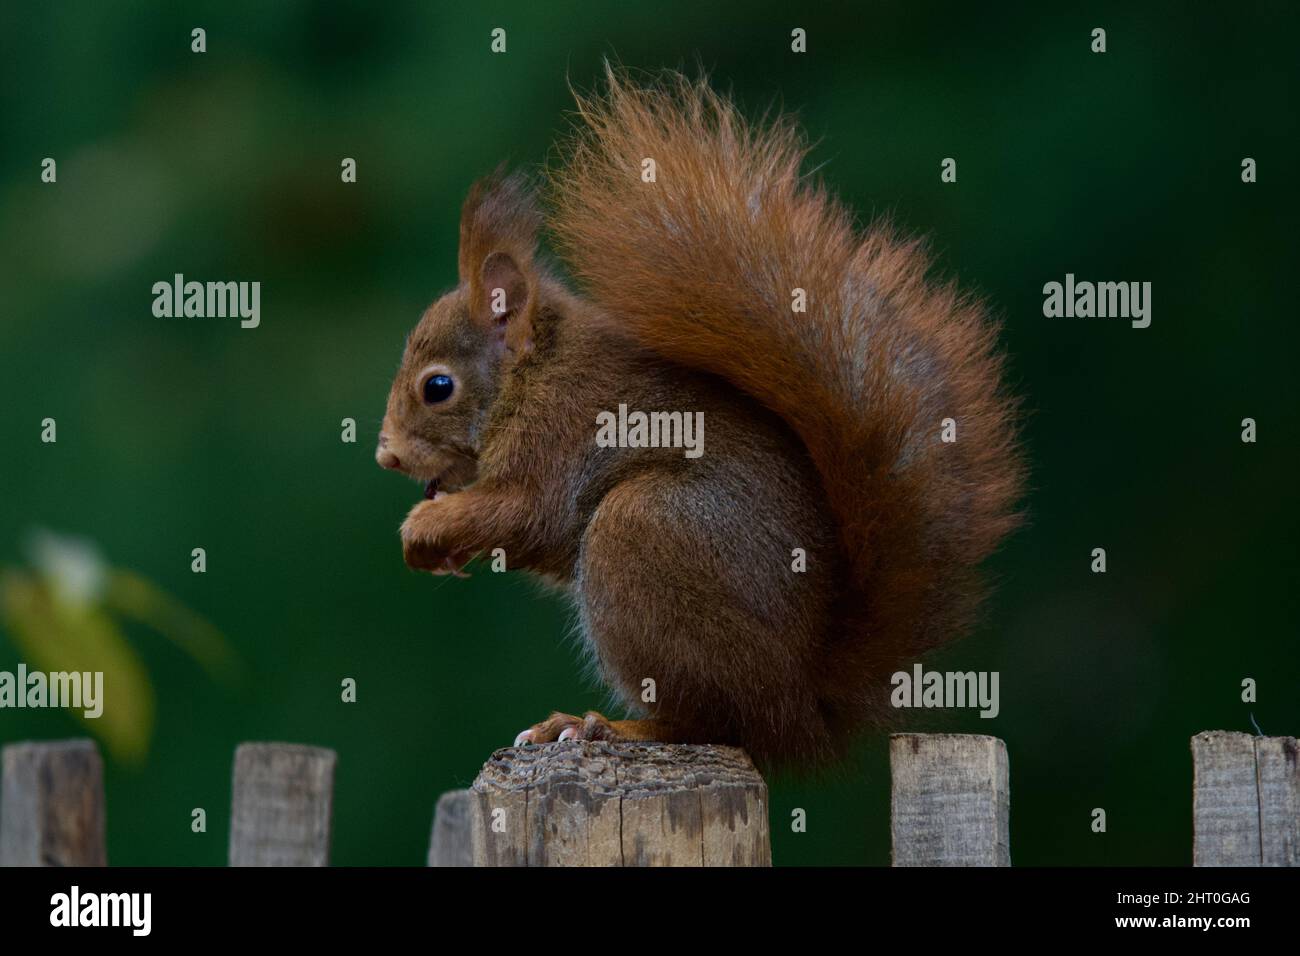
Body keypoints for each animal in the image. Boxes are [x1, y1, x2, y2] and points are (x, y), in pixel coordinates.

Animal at [376, 70, 1023, 768]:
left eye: (437, 387)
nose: (386, 454)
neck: (533, 374)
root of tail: (804, 703)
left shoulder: (557, 437)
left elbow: (525, 513)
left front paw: (424, 527)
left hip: (642, 536)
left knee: (709, 722)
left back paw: (603, 726)